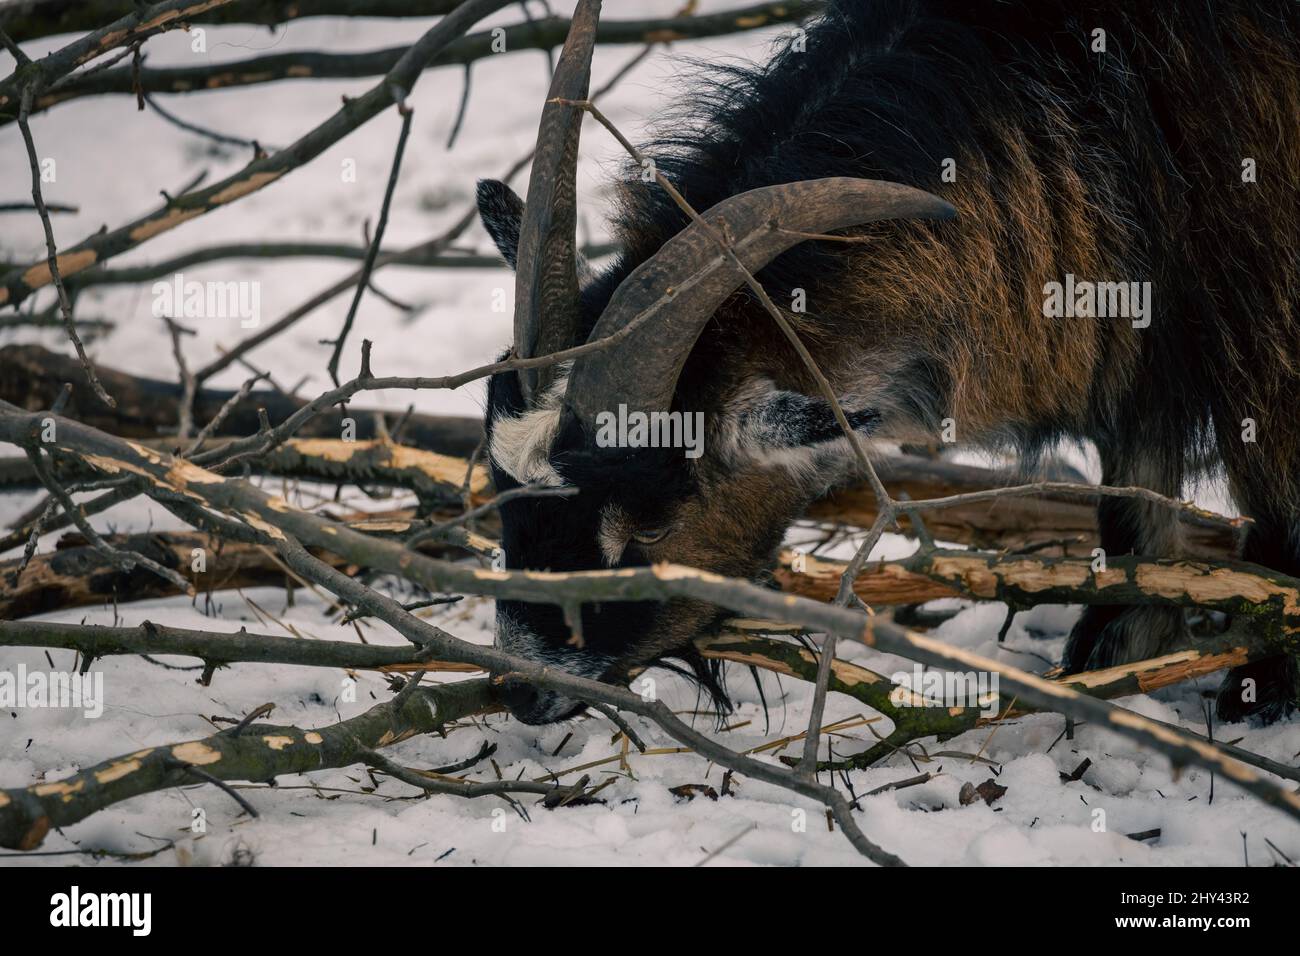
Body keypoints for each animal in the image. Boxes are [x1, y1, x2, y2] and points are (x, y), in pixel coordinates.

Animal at [474, 0, 1300, 725]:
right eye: (499, 488)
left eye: (649, 527)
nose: (520, 689)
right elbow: (1135, 512)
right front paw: (1118, 655)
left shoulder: (1262, 341)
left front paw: (1262, 687)